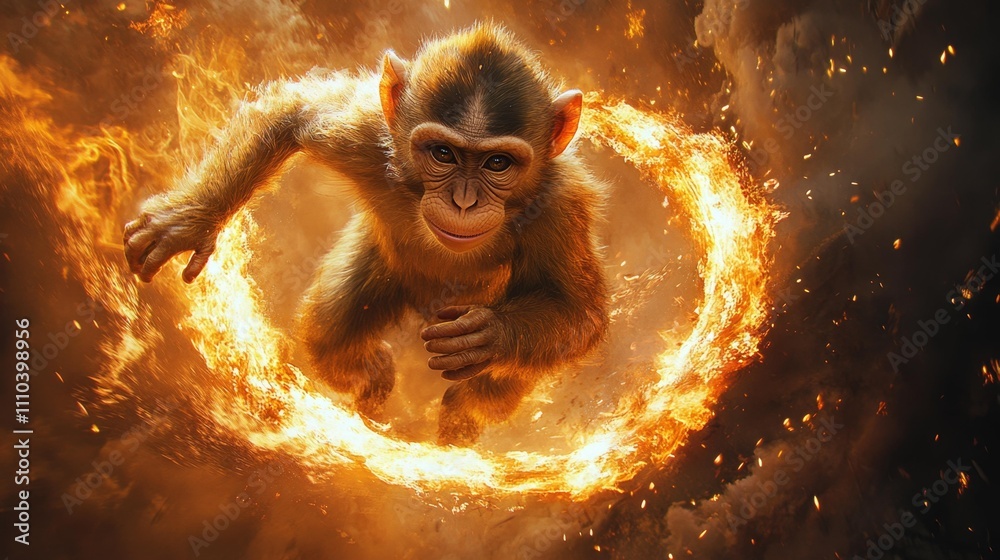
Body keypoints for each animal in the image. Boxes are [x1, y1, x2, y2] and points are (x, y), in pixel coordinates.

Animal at [123, 23, 608, 446]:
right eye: (443, 153)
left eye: (498, 163)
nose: (464, 201)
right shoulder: (363, 135)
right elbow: (292, 113)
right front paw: (188, 220)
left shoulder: (561, 207)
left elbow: (580, 313)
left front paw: (492, 334)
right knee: (329, 331)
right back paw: (371, 376)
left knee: (501, 382)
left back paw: (463, 413)